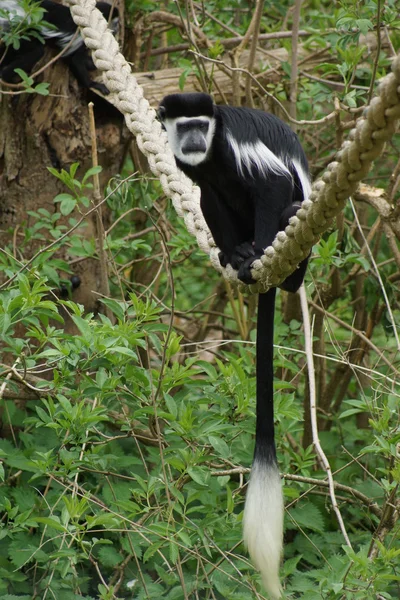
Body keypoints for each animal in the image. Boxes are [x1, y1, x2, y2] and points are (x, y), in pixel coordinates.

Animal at [158, 91, 310, 596]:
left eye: (200, 125)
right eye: (183, 125)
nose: (192, 140)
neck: (211, 148)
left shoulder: (232, 147)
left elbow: (272, 184)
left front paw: (257, 252)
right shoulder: (194, 165)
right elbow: (207, 190)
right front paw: (239, 252)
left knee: (283, 205)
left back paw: (264, 261)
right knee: (211, 194)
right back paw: (236, 253)